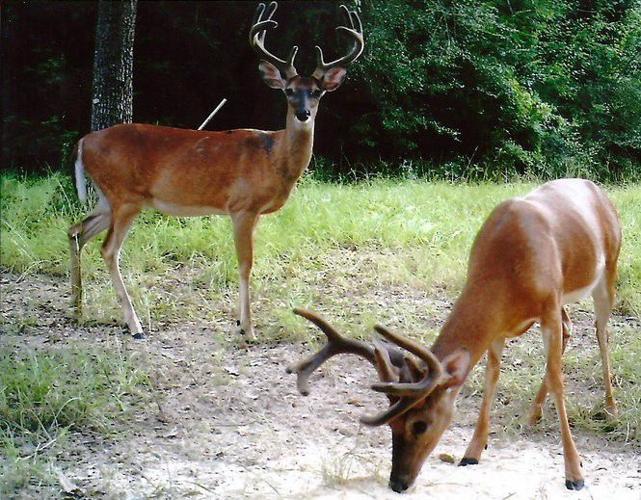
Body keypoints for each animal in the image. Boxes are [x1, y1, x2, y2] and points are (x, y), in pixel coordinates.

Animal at [67, 2, 364, 339]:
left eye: (317, 91)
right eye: (289, 90)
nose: (303, 114)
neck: (274, 157)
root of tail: (83, 142)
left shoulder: (256, 213)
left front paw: (241, 323)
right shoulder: (242, 206)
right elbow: (246, 264)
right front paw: (247, 328)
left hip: (108, 198)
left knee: (76, 231)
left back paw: (78, 308)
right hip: (125, 196)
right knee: (108, 249)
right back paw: (134, 325)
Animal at [288, 178, 621, 493]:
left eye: (420, 425)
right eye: (392, 423)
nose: (398, 483)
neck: (508, 268)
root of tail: (597, 189)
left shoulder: (548, 305)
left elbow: (557, 378)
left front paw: (575, 473)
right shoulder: (501, 324)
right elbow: (491, 375)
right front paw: (472, 451)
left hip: (608, 270)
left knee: (601, 331)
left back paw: (610, 408)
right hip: (565, 299)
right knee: (570, 329)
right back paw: (532, 415)